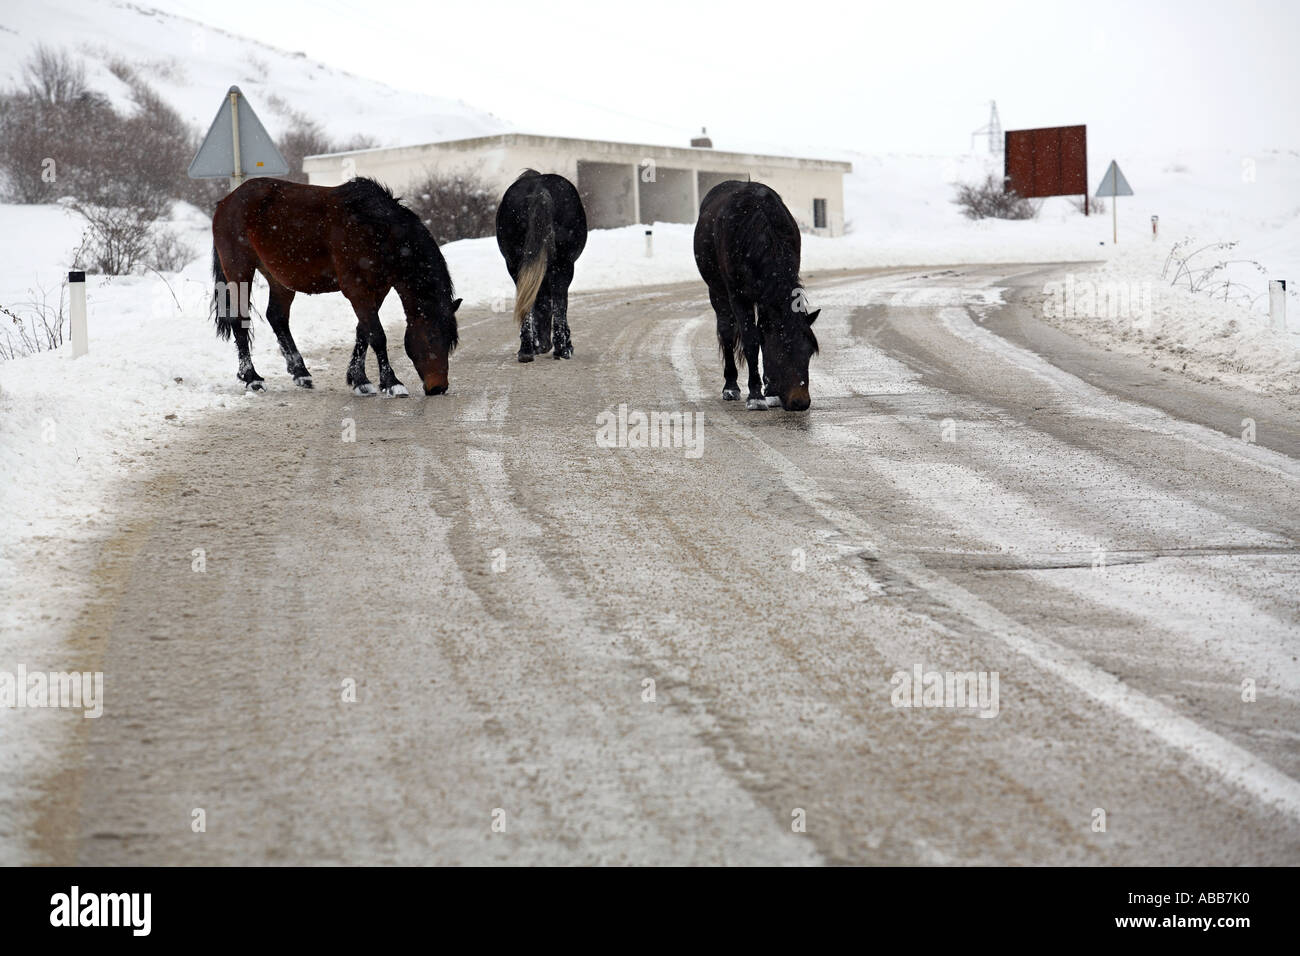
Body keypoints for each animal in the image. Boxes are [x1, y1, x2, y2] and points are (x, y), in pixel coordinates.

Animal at [211, 177, 461, 395]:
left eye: (450, 340)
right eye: (430, 337)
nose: (438, 387)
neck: (375, 229)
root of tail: (225, 201)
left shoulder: (378, 290)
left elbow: (363, 332)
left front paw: (359, 379)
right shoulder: (357, 290)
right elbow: (377, 335)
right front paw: (391, 383)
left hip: (278, 278)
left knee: (277, 316)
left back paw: (301, 373)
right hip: (239, 270)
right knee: (239, 319)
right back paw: (252, 377)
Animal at [495, 170, 587, 362]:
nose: (544, 345)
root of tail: (540, 190)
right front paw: (568, 345)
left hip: (516, 266)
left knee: (526, 304)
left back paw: (526, 351)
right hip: (564, 266)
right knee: (559, 303)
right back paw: (561, 350)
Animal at [693, 180, 819, 411]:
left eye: (809, 351)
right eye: (780, 351)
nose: (800, 402)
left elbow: (762, 332)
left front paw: (770, 392)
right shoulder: (738, 296)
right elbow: (751, 340)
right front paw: (755, 396)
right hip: (717, 292)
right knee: (726, 331)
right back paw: (730, 387)